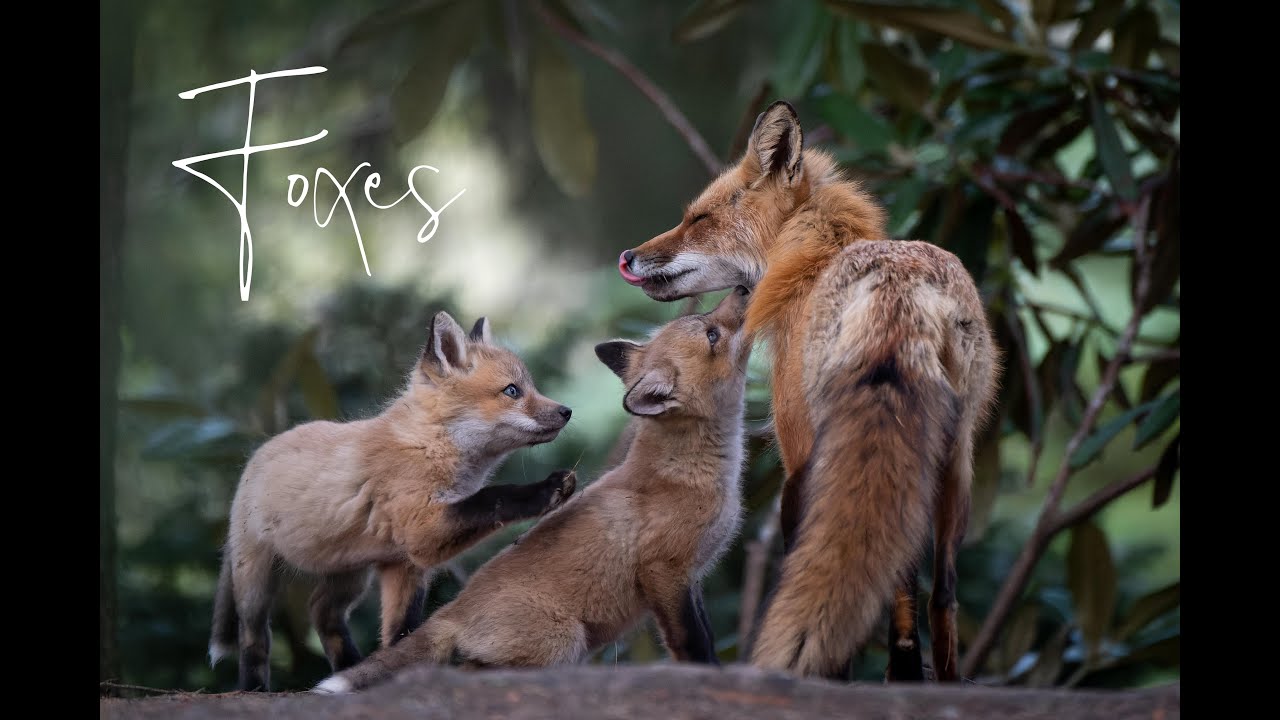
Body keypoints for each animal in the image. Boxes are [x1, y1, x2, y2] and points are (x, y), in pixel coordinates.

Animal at [210, 311, 578, 691]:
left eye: (530, 387)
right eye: (512, 391)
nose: (567, 411)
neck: (429, 445)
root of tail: (257, 454)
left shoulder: (403, 564)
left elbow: (402, 633)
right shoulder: (420, 533)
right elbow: (492, 497)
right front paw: (545, 490)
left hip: (349, 570)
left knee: (322, 612)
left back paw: (349, 666)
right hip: (256, 577)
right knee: (254, 633)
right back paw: (253, 686)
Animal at [311, 287, 754, 694]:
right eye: (712, 334)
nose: (744, 288)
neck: (687, 473)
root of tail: (452, 609)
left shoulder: (691, 579)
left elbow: (706, 634)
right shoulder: (664, 572)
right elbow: (690, 644)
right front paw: (708, 678)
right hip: (564, 642)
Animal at [615, 101, 1000, 682]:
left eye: (698, 220)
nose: (629, 255)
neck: (812, 261)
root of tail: (903, 287)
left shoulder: (798, 454)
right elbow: (906, 587)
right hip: (954, 463)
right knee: (941, 594)